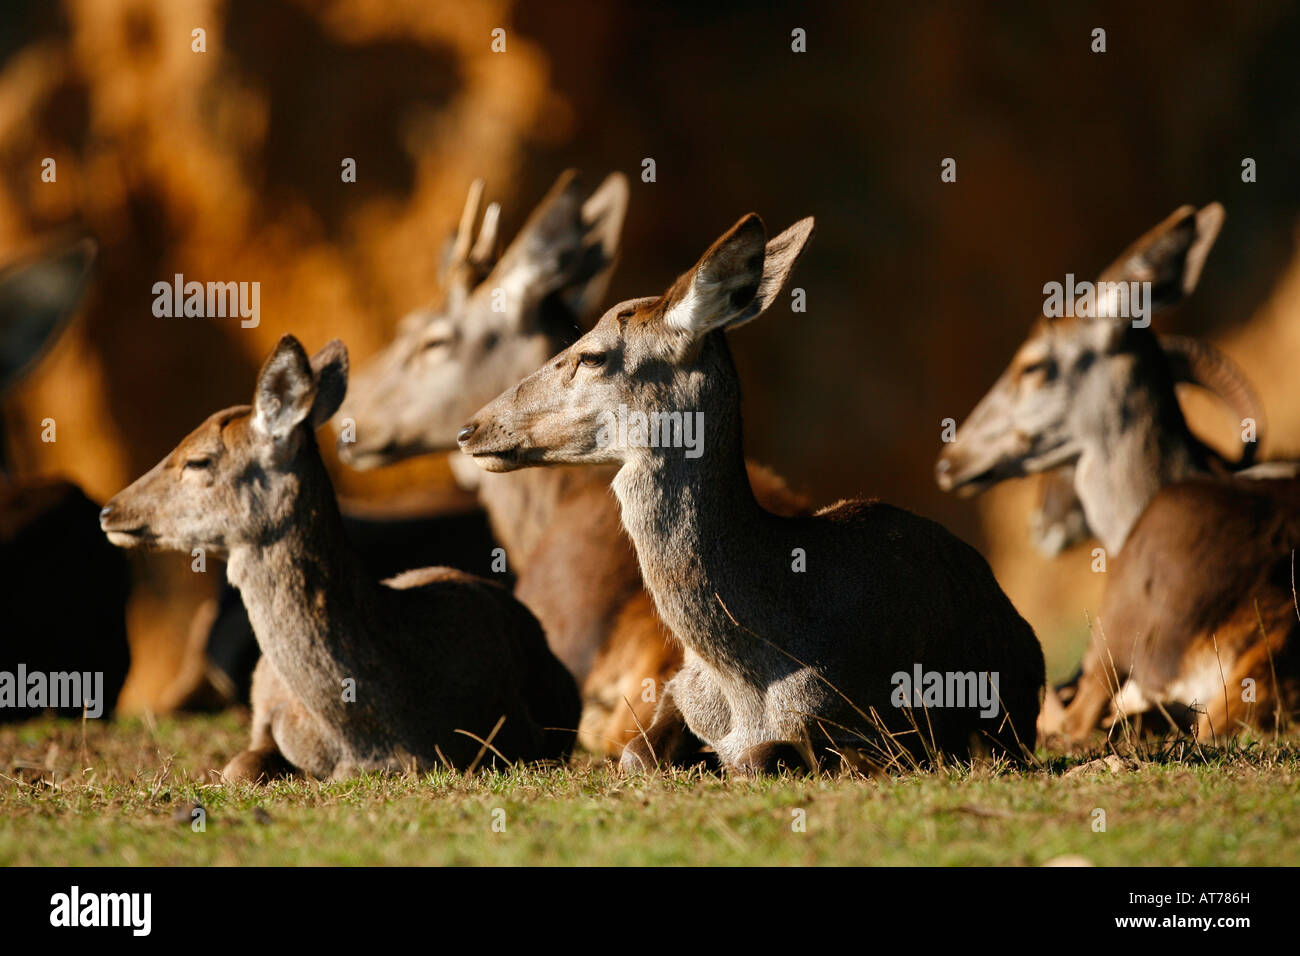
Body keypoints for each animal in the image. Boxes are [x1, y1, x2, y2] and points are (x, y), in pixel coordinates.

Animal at [458, 212, 1046, 774]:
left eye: (593, 356)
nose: (472, 428)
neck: (747, 682)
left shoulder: (877, 723)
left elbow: (759, 760)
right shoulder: (677, 687)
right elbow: (636, 754)